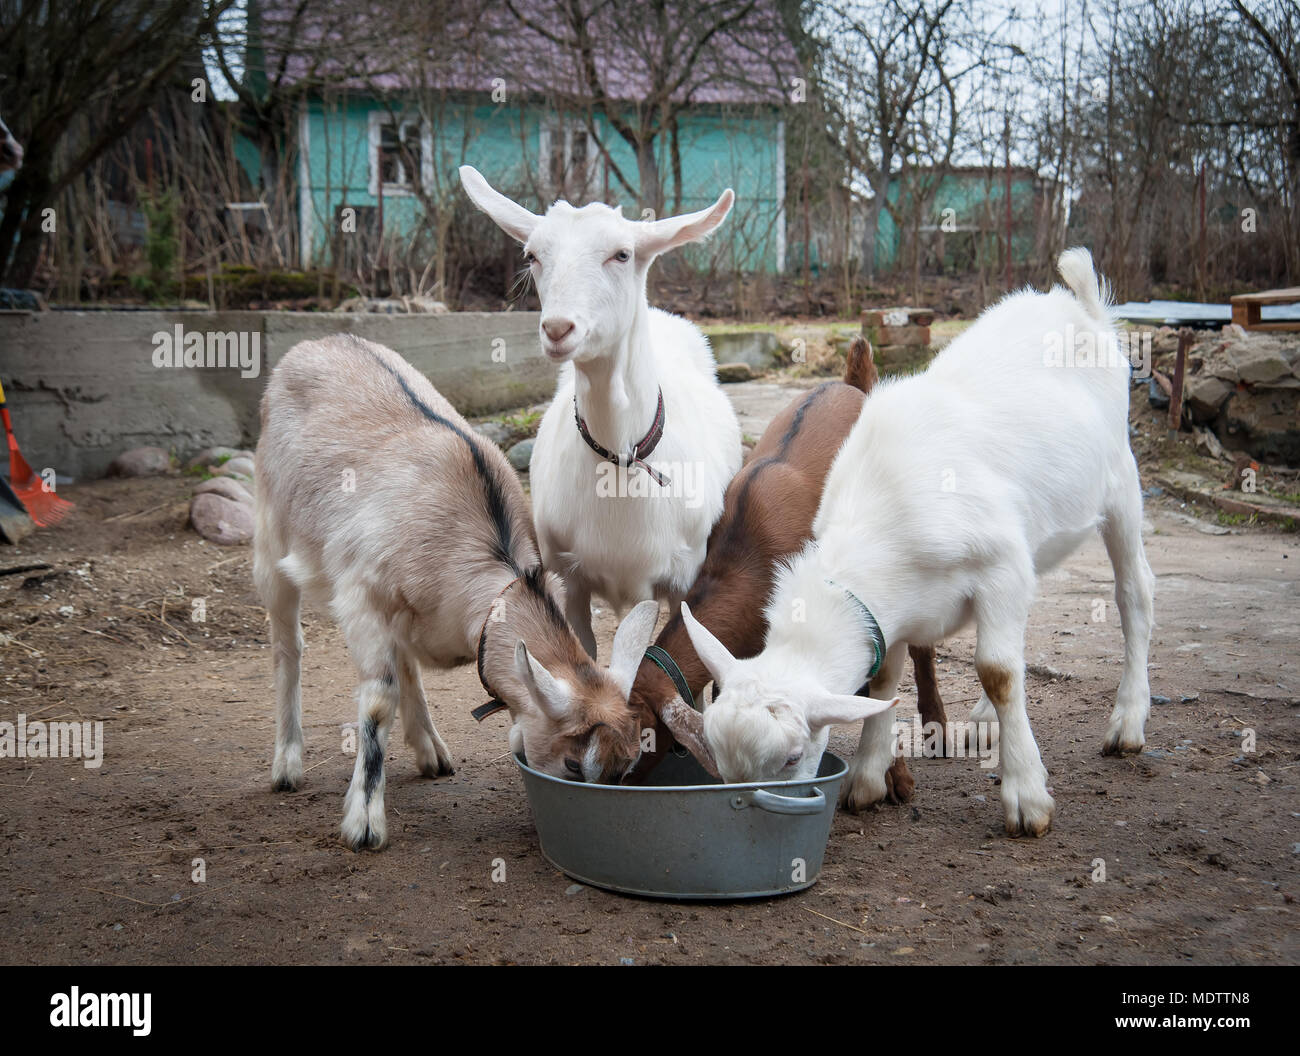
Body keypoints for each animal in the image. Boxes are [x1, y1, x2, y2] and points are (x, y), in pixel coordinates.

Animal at [254, 334, 659, 850]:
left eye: (626, 768)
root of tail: (316, 342)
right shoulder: (361, 597)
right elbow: (378, 698)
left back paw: (431, 751)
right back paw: (287, 764)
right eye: (573, 763)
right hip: (271, 535)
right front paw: (364, 824)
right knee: (287, 644)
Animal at [459, 167, 743, 659]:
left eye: (622, 254)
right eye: (533, 255)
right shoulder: (567, 576)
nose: (558, 328)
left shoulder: (673, 577)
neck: (621, 460)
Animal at [627, 337, 948, 805]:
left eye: (641, 741)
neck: (745, 561)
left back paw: (936, 726)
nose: (607, 784)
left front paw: (895, 778)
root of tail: (851, 382)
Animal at [682, 249, 1154, 837]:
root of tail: (1081, 306)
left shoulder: (999, 565)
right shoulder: (900, 609)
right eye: (721, 766)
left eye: (791, 757)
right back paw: (985, 720)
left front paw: (1027, 797)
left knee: (1134, 593)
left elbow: (998, 670)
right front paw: (867, 778)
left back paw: (1127, 723)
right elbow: (886, 678)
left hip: (1121, 483)